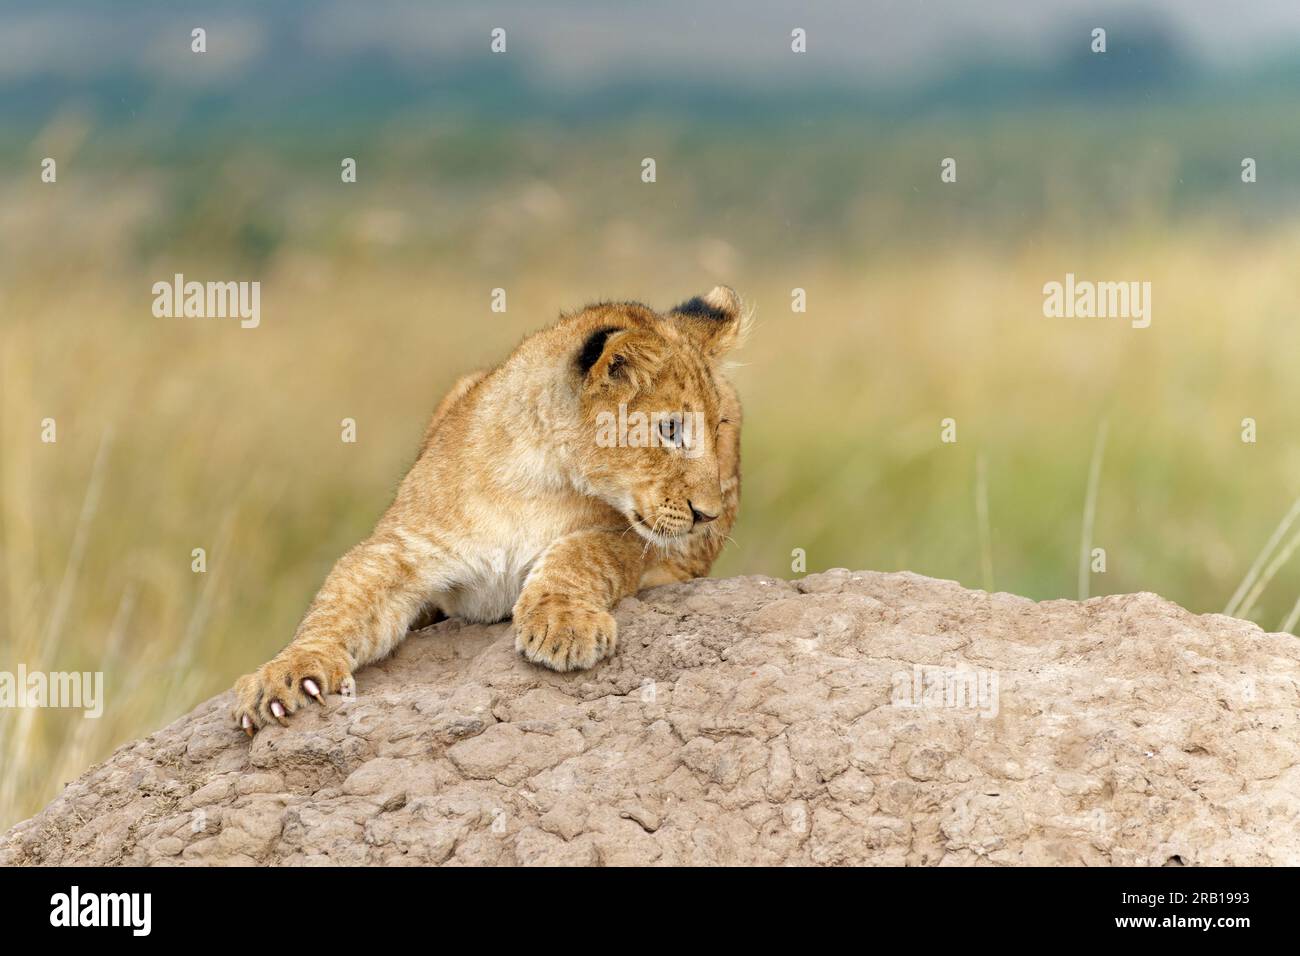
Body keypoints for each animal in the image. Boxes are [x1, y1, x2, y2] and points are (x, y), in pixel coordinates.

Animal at [232, 286, 746, 734]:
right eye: (670, 429)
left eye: (717, 426)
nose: (708, 514)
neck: (535, 481)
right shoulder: (403, 545)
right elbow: (341, 601)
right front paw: (283, 675)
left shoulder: (634, 540)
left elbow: (582, 553)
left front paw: (563, 623)